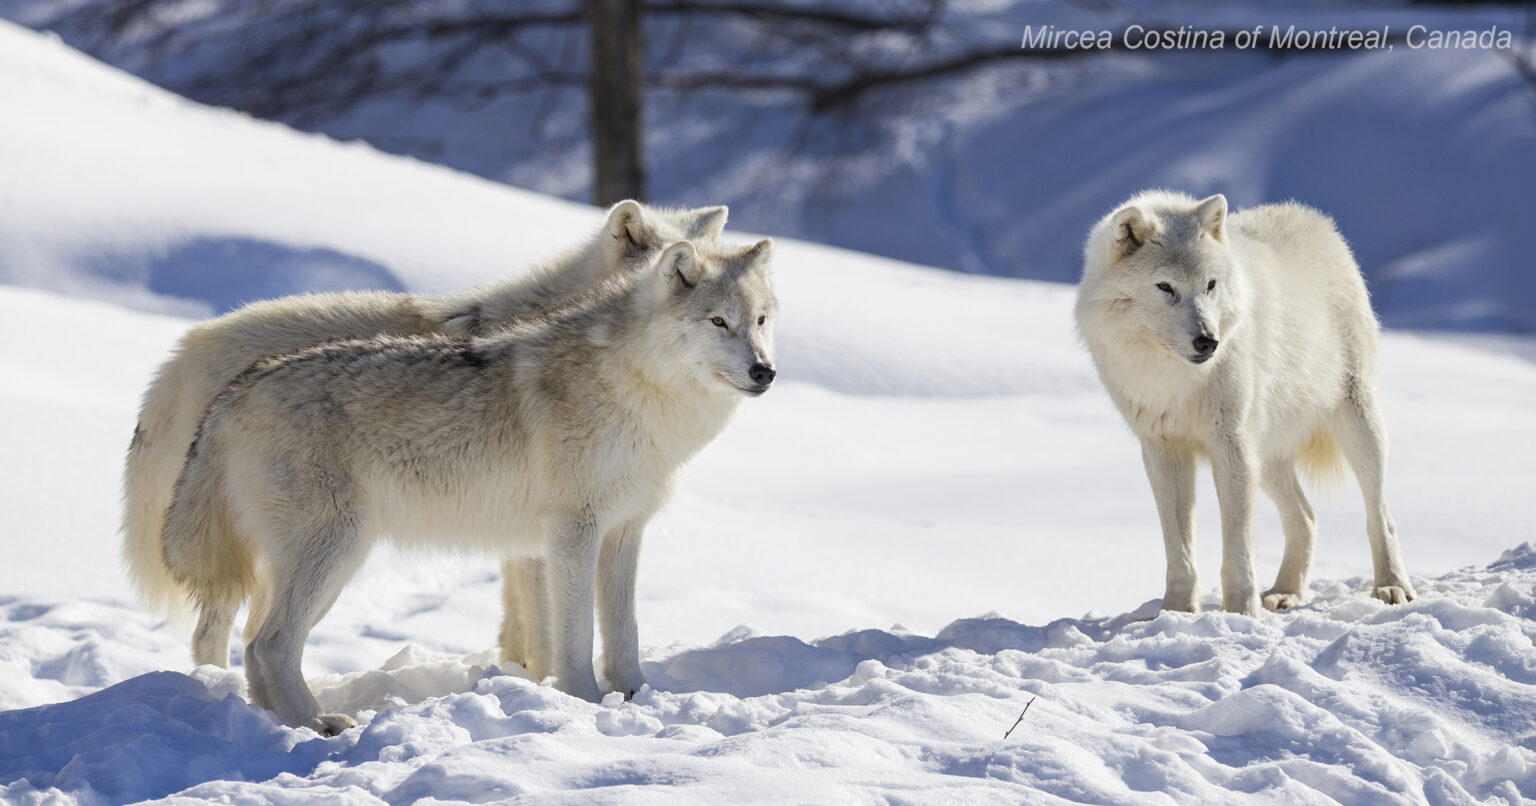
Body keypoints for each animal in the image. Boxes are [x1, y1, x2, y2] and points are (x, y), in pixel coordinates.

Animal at [160, 238, 777, 733]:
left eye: (761, 321)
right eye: (718, 322)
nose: (765, 372)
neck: (639, 392)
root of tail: (235, 391)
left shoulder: (625, 530)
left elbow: (624, 632)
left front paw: (635, 698)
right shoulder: (571, 532)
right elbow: (574, 636)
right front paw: (585, 703)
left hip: (326, 567)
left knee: (254, 645)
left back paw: (277, 722)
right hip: (334, 554)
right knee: (270, 644)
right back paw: (316, 726)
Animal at [1075, 190, 1415, 616]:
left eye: (1210, 285)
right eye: (1165, 287)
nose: (1208, 341)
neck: (1177, 380)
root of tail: (1317, 221)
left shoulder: (1231, 445)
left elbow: (1238, 547)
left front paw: (1240, 614)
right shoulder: (1163, 449)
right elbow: (1179, 551)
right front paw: (1175, 613)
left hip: (1355, 427)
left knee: (1380, 514)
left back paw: (1392, 586)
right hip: (1266, 458)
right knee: (1306, 517)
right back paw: (1286, 592)